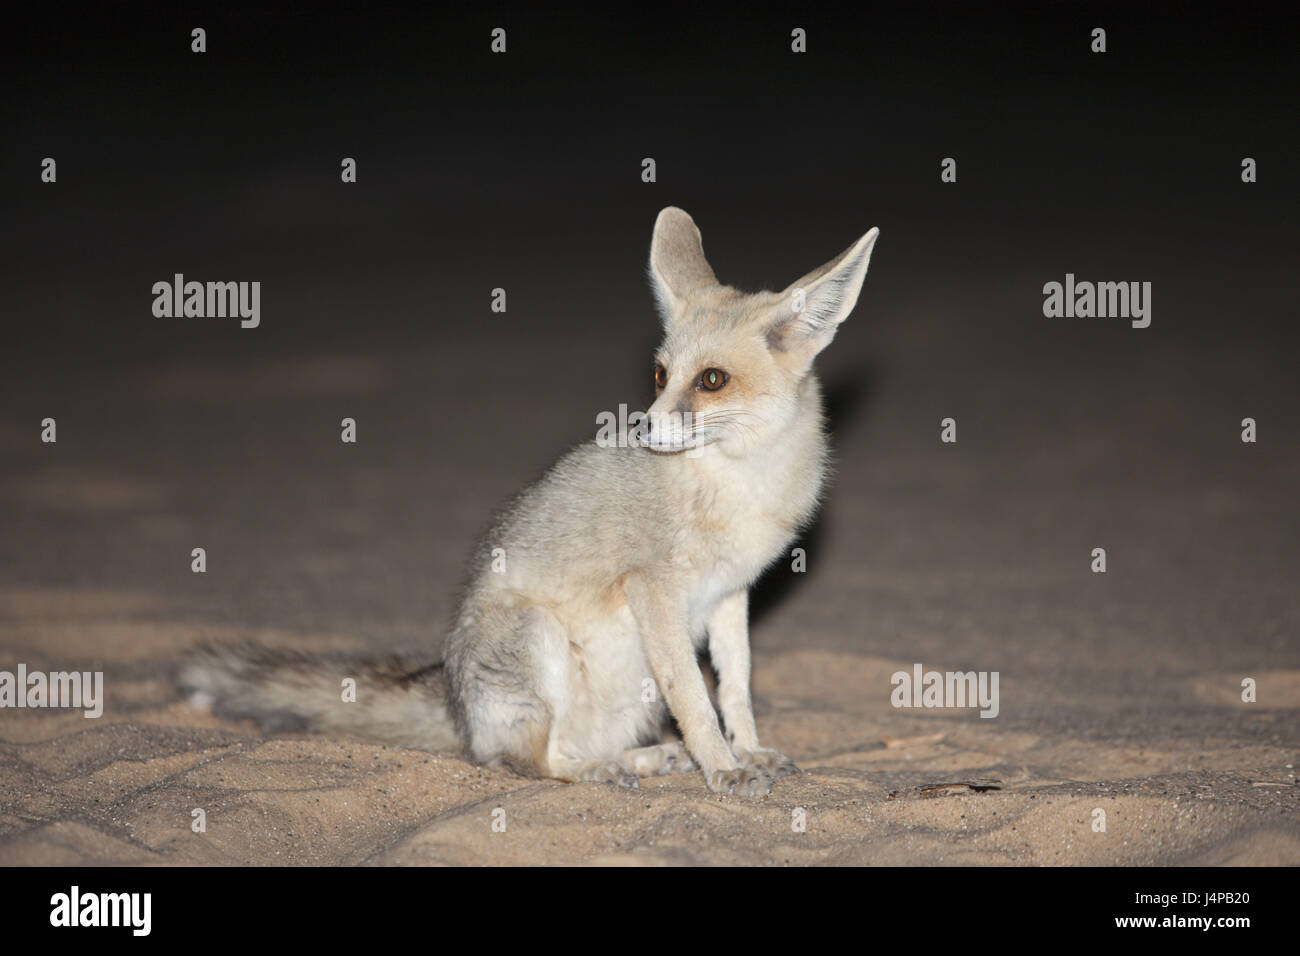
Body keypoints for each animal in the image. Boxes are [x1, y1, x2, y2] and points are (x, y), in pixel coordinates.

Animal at [181, 207, 879, 796]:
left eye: (711, 381)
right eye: (660, 376)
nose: (643, 429)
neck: (741, 480)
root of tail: (455, 709)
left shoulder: (731, 594)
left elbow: (735, 691)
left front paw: (748, 752)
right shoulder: (655, 589)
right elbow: (695, 700)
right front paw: (724, 769)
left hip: (633, 689)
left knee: (564, 748)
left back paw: (641, 758)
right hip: (540, 638)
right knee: (526, 762)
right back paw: (600, 772)